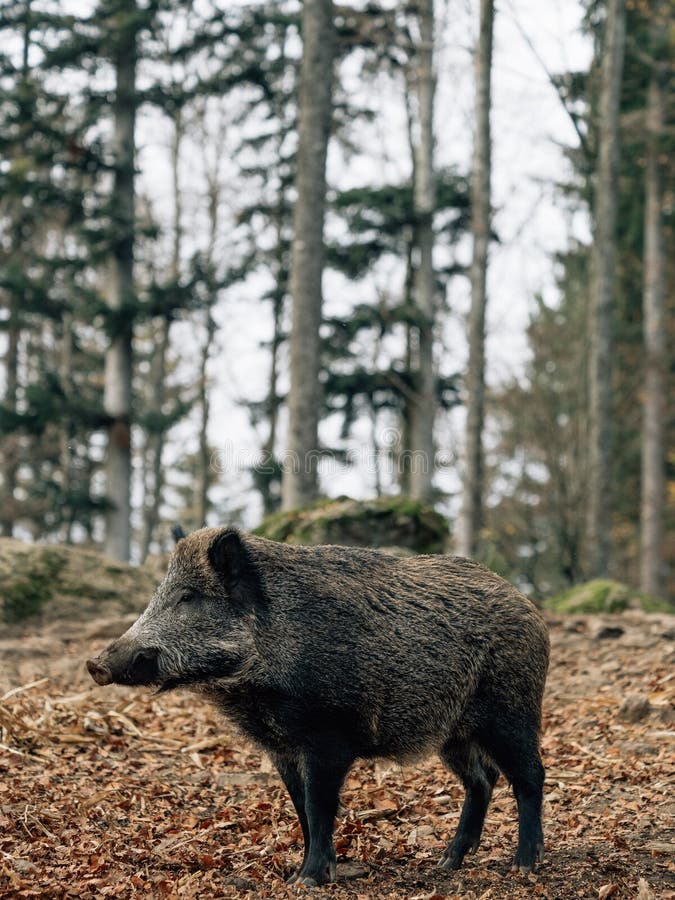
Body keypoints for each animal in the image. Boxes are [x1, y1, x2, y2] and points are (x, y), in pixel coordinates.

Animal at [87, 527, 550, 886]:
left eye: (187, 597)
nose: (96, 664)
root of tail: (528, 605)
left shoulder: (329, 738)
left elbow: (317, 805)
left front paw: (308, 881)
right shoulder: (281, 748)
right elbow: (301, 810)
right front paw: (297, 875)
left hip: (511, 711)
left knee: (529, 776)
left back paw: (524, 866)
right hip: (452, 733)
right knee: (482, 779)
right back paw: (447, 862)